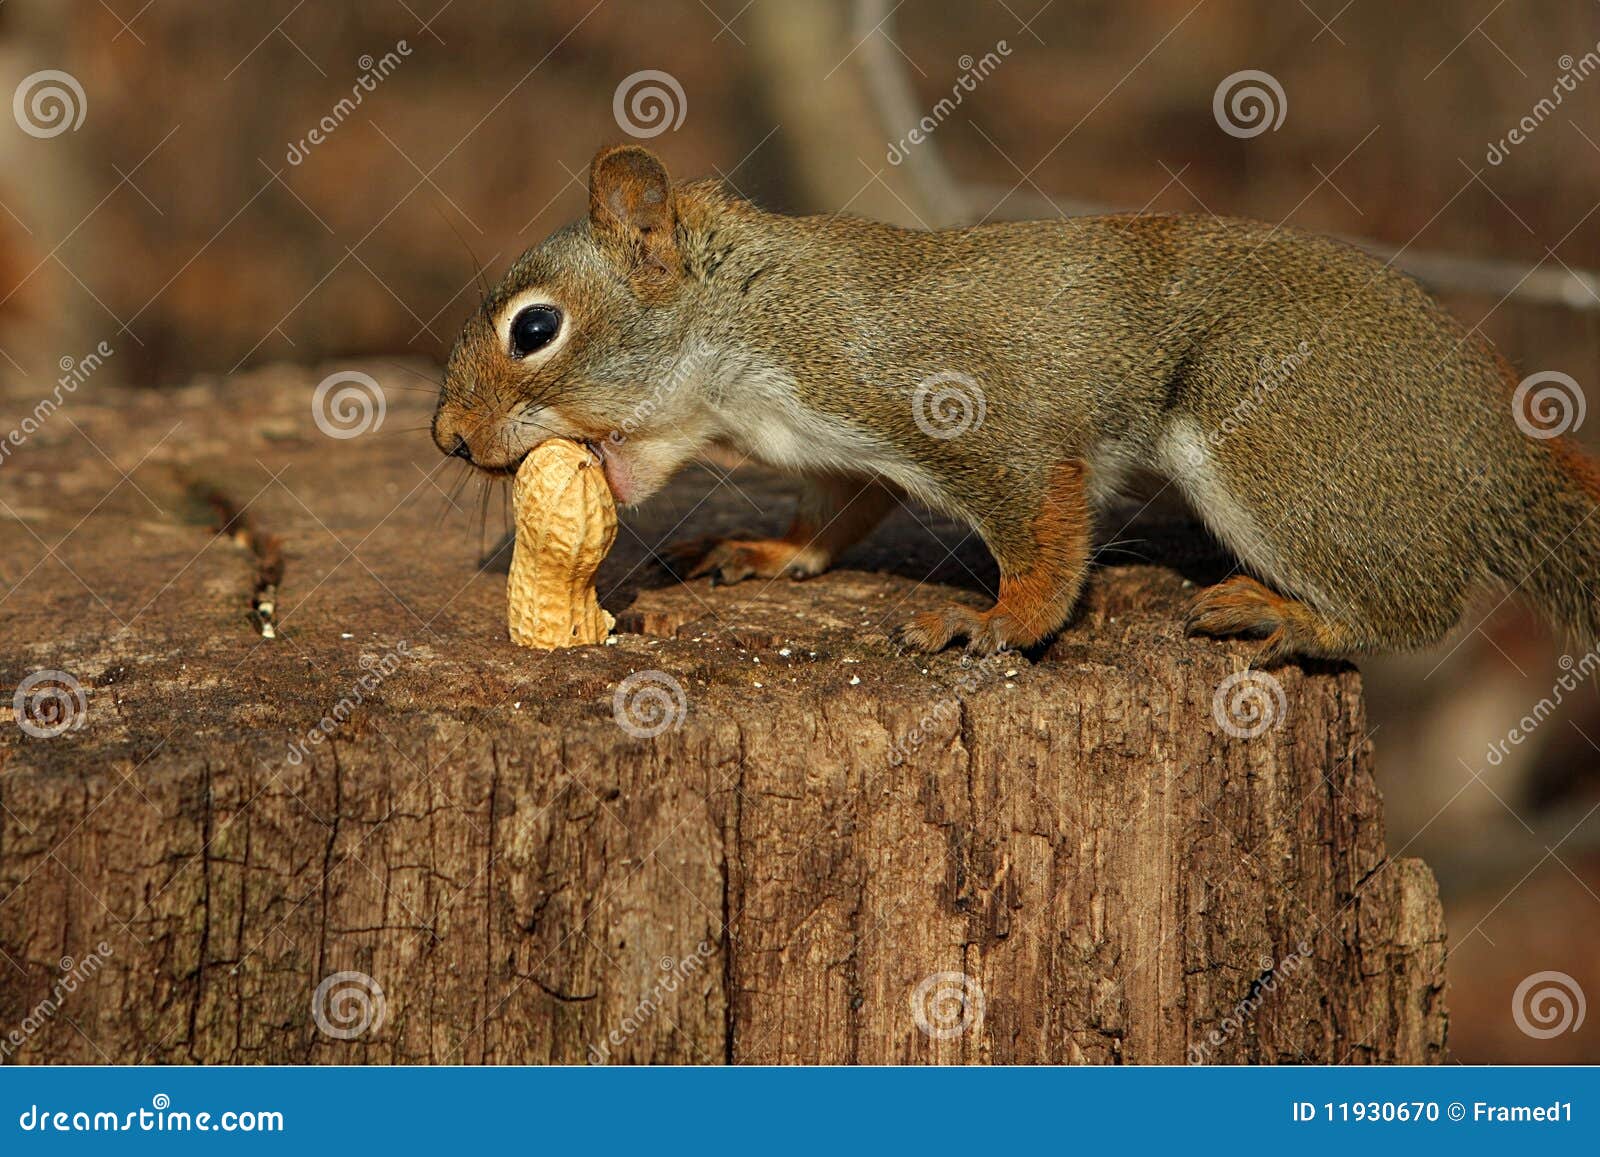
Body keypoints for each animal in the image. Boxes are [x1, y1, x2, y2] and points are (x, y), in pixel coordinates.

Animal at [432, 143, 1600, 662]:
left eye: (534, 329)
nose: (447, 437)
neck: (752, 322)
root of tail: (1489, 448)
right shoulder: (839, 445)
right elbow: (842, 511)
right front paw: (769, 552)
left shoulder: (964, 410)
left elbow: (1040, 524)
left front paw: (998, 622)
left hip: (1275, 437)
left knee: (1414, 611)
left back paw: (1292, 612)